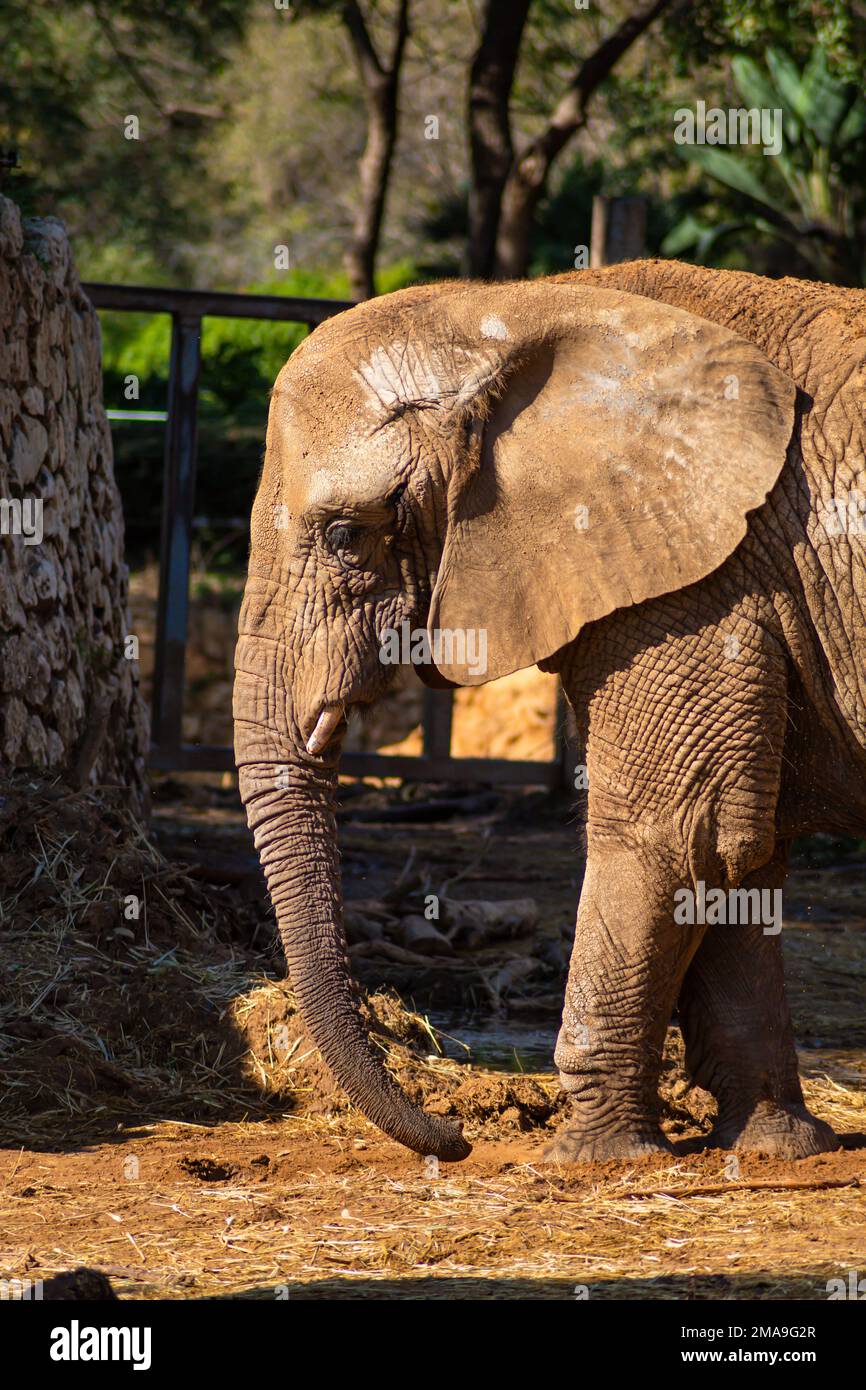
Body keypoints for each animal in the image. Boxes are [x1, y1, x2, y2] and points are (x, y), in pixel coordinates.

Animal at [233, 257, 866, 1165]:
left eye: (347, 537)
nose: (456, 1134)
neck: (513, 307)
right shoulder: (709, 565)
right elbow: (744, 850)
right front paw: (773, 1148)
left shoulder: (701, 570)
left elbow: (678, 833)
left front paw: (592, 1160)